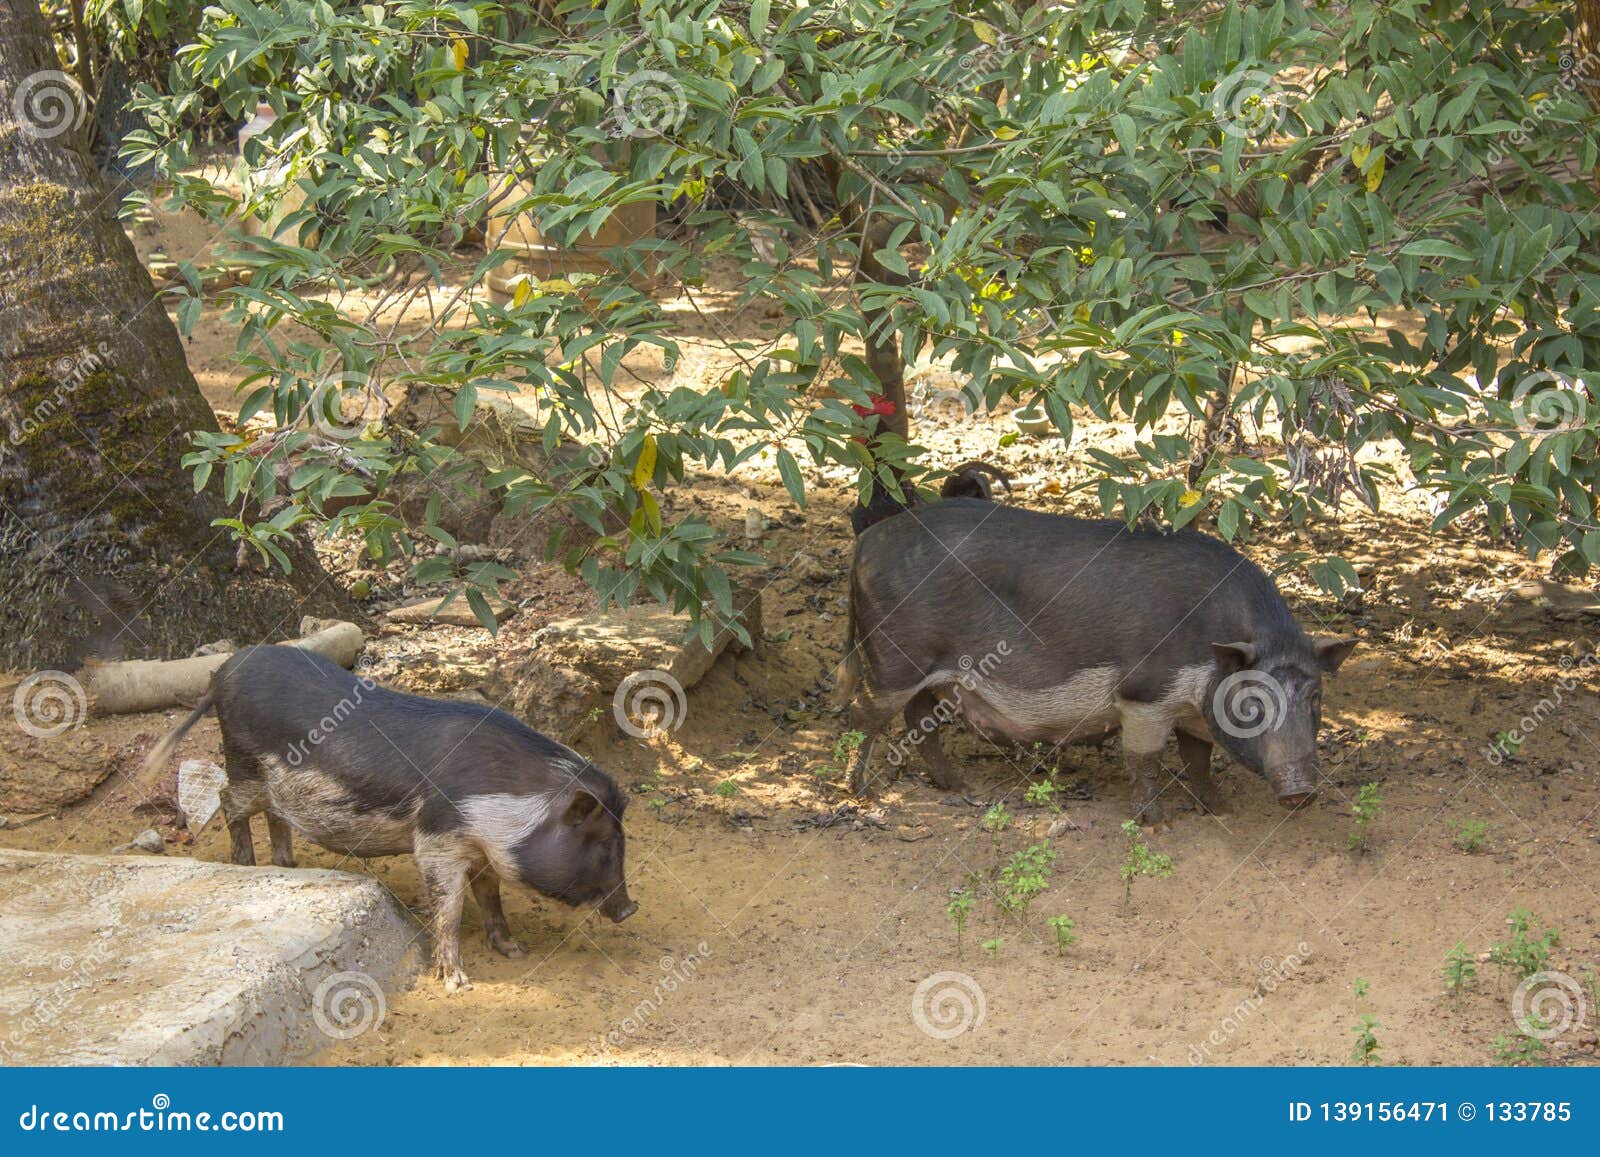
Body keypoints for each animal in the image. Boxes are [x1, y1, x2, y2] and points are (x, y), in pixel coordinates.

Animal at [142, 645, 636, 991]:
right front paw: (457, 982)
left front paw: (515, 951)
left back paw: (287, 865)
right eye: (604, 843)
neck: (510, 805)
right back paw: (245, 863)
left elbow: (490, 897)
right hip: (242, 765)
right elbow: (449, 909)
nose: (630, 908)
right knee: (227, 799)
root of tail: (223, 671)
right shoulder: (437, 841)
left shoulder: (480, 851)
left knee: (273, 815)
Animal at [839, 499, 1356, 822]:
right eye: (1250, 704)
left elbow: (1198, 758)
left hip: (922, 675)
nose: (1300, 791)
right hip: (892, 661)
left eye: (1315, 696)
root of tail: (866, 543)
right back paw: (861, 792)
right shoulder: (1144, 694)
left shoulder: (1191, 711)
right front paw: (1156, 824)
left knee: (918, 718)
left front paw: (1221, 810)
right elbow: (1145, 759)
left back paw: (958, 787)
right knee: (865, 714)